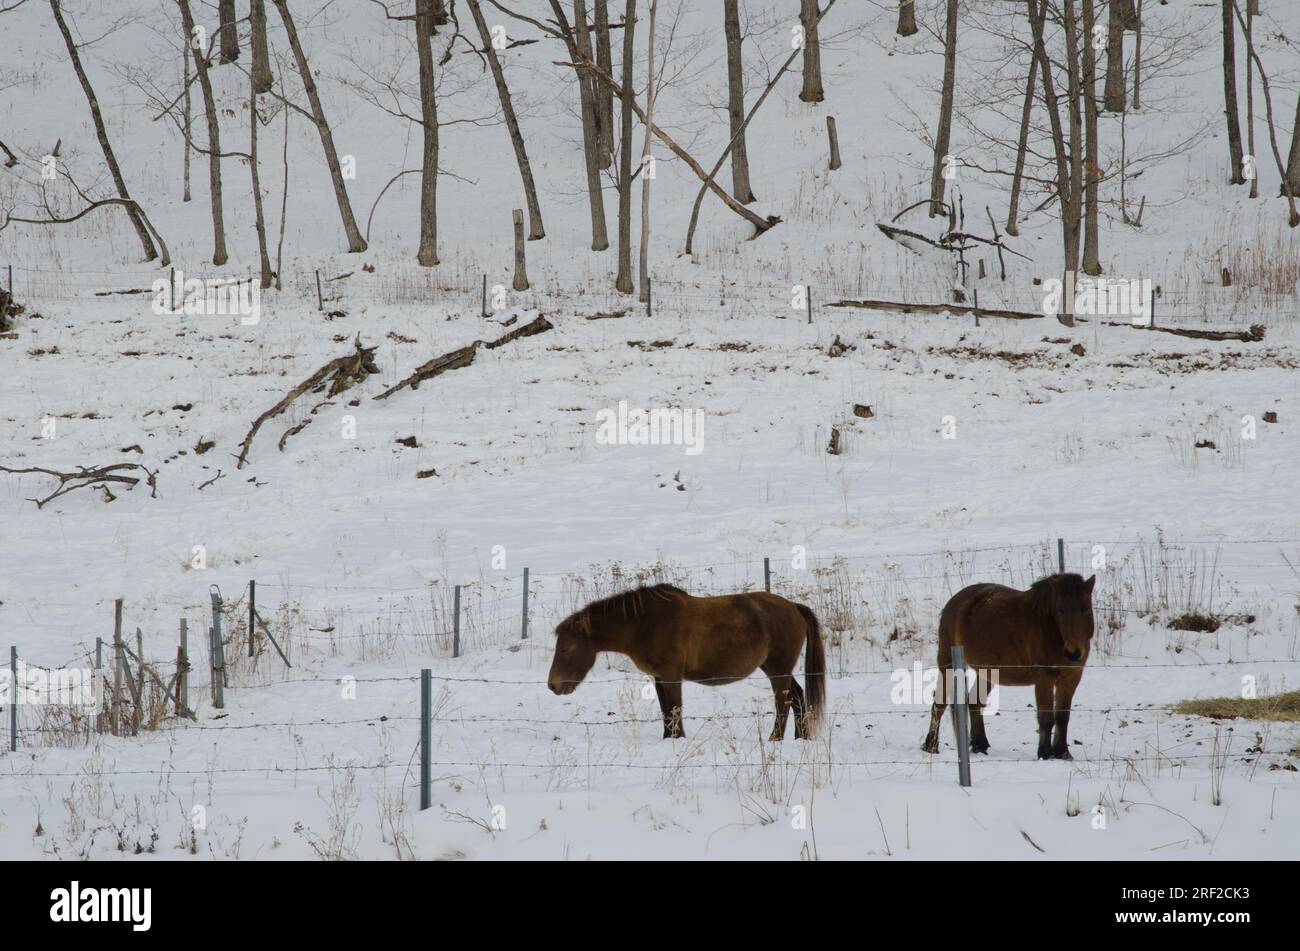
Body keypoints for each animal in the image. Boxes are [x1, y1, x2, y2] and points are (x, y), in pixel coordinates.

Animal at [547, 583, 826, 740]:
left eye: (566, 648)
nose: (553, 685)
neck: (645, 623)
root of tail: (794, 607)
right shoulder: (659, 676)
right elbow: (666, 711)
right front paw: (669, 739)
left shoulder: (671, 674)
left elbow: (674, 708)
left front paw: (677, 739)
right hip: (774, 668)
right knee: (798, 698)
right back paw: (801, 738)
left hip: (778, 669)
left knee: (783, 703)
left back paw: (774, 739)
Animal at [922, 573, 1096, 760]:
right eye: (1060, 610)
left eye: (1086, 609)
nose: (1073, 653)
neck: (1051, 631)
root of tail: (954, 602)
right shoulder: (1044, 678)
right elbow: (1046, 718)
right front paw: (1045, 753)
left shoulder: (1071, 678)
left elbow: (1063, 717)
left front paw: (1063, 752)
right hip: (947, 665)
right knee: (939, 704)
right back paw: (931, 746)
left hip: (987, 672)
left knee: (975, 703)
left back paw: (980, 745)